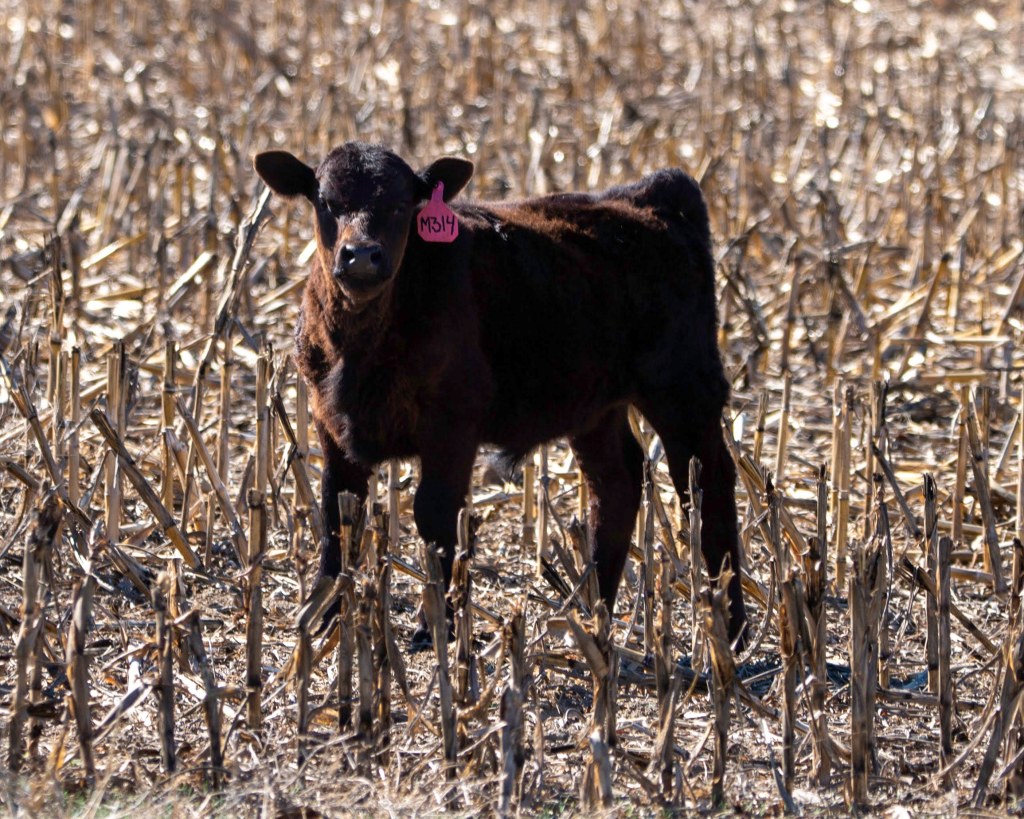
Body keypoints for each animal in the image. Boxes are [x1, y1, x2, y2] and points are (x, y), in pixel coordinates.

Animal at [253, 142, 747, 647]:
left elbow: (435, 515)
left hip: (684, 388)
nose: (362, 256)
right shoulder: (331, 423)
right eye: (326, 201)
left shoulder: (453, 425)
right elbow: (336, 515)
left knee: (708, 482)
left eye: (401, 204)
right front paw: (325, 616)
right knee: (616, 484)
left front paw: (439, 627)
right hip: (595, 407)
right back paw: (593, 617)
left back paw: (732, 627)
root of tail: (651, 195)